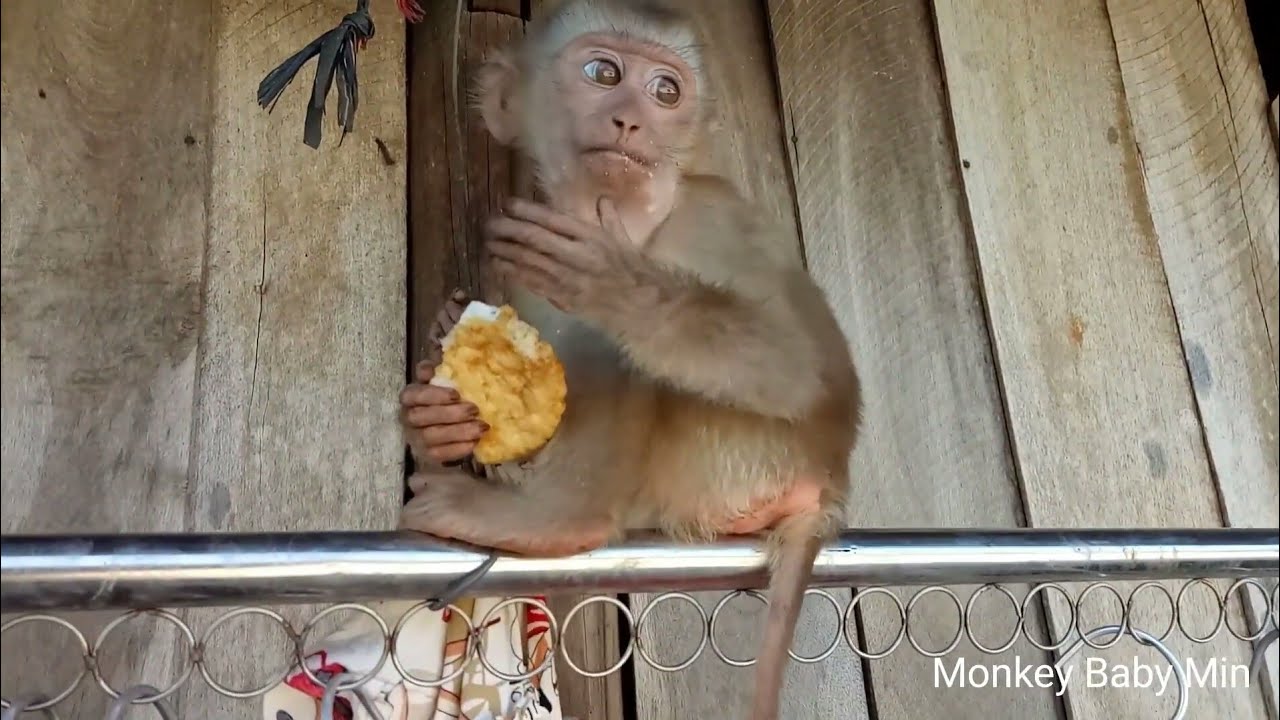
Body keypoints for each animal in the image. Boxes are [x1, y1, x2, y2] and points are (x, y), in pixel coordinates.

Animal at [397, 1, 862, 717]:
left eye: (666, 90)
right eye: (603, 73)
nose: (630, 118)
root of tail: (827, 479)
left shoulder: (720, 218)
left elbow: (805, 367)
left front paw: (617, 285)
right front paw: (436, 416)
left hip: (736, 463)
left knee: (628, 357)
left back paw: (553, 519)